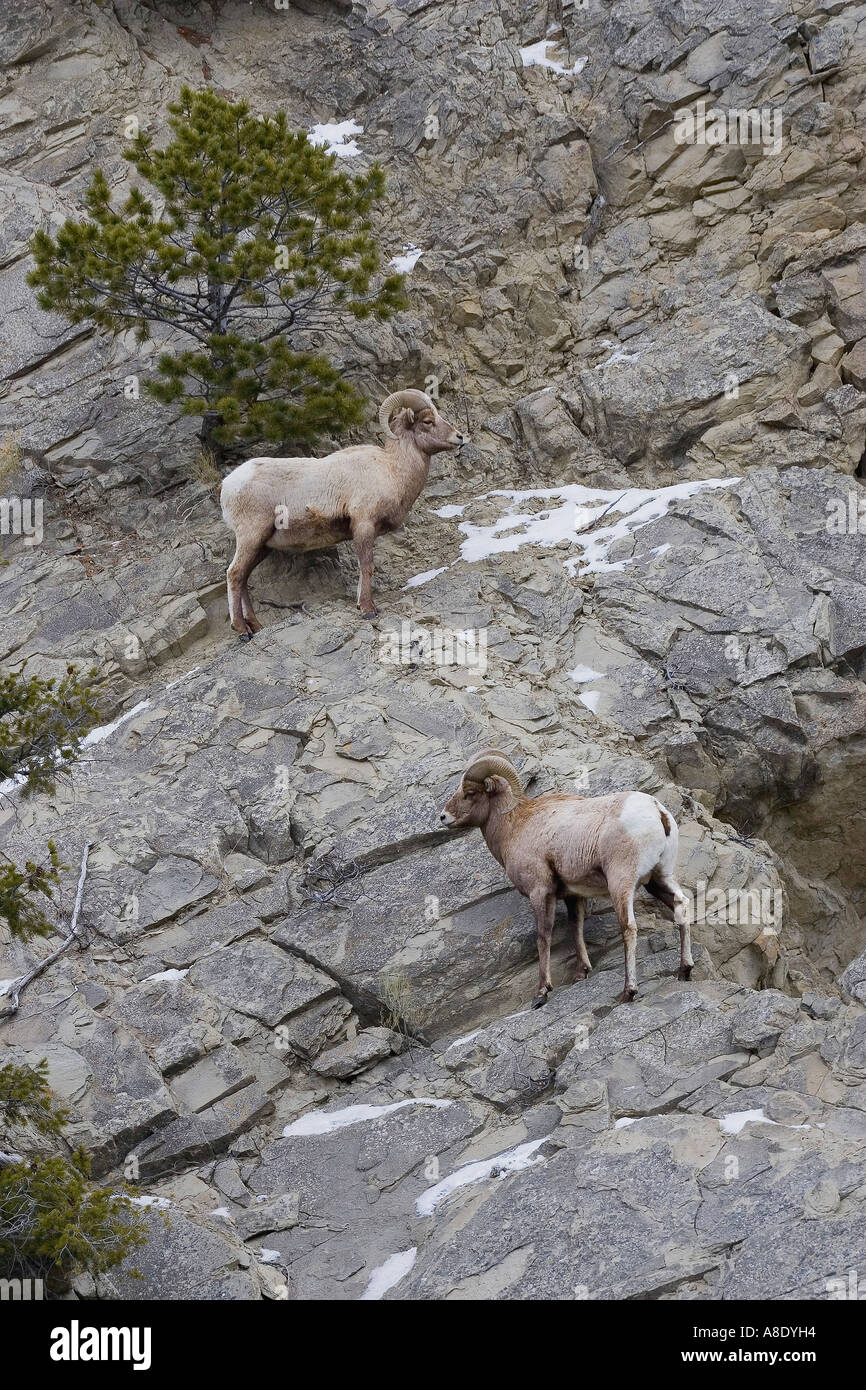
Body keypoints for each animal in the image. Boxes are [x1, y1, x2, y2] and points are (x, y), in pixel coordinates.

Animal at [219, 389, 464, 637]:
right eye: (428, 421)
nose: (459, 437)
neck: (391, 469)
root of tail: (228, 485)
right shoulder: (363, 524)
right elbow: (367, 566)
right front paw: (368, 610)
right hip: (251, 536)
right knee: (235, 574)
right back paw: (241, 630)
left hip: (262, 546)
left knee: (243, 578)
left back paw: (256, 626)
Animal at [439, 749, 691, 1008]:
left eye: (470, 793)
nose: (443, 817)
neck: (515, 827)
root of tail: (657, 811)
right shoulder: (573, 895)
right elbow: (575, 928)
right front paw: (581, 973)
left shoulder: (540, 892)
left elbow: (543, 936)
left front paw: (541, 993)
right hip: (659, 878)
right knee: (681, 905)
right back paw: (685, 971)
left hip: (620, 883)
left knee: (629, 927)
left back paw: (628, 992)